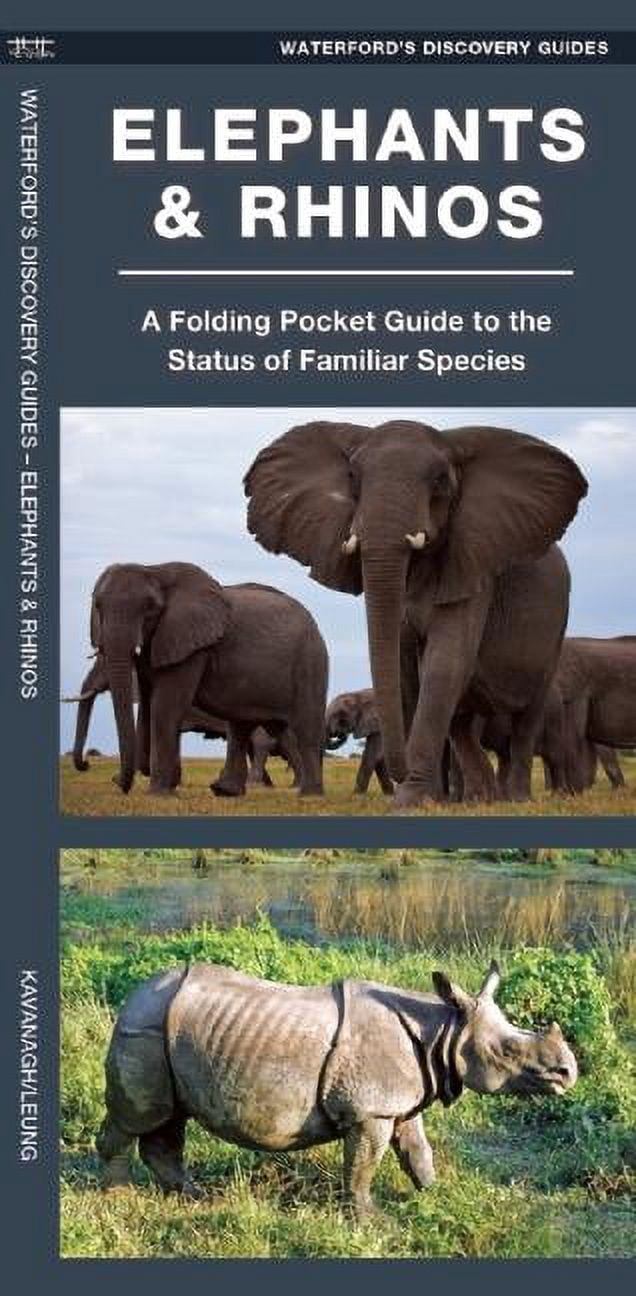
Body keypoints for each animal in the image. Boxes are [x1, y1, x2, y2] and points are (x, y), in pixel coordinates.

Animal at [87, 562, 328, 796]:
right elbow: (148, 706)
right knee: (246, 727)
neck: (155, 569)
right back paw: (226, 791)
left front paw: (160, 794)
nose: (120, 784)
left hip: (311, 661)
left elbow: (165, 706)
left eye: (150, 607)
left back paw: (309, 794)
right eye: (97, 605)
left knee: (304, 729)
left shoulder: (191, 645)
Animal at [96, 960, 577, 1217]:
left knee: (169, 1117)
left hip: (166, 1031)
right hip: (144, 1029)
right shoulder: (371, 1110)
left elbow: (417, 1151)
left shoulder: (398, 1103)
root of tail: (133, 996)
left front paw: (436, 1196)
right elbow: (363, 1165)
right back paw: (119, 1198)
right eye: (508, 1050)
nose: (568, 1072)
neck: (443, 1030)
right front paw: (370, 1220)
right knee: (139, 1117)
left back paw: (193, 1197)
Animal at [245, 421, 587, 806]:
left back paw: (515, 799)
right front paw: (427, 799)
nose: (401, 772)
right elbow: (405, 666)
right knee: (462, 720)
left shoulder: (473, 564)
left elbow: (446, 661)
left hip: (556, 632)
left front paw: (410, 800)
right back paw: (483, 798)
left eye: (440, 480)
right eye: (353, 477)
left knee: (526, 718)